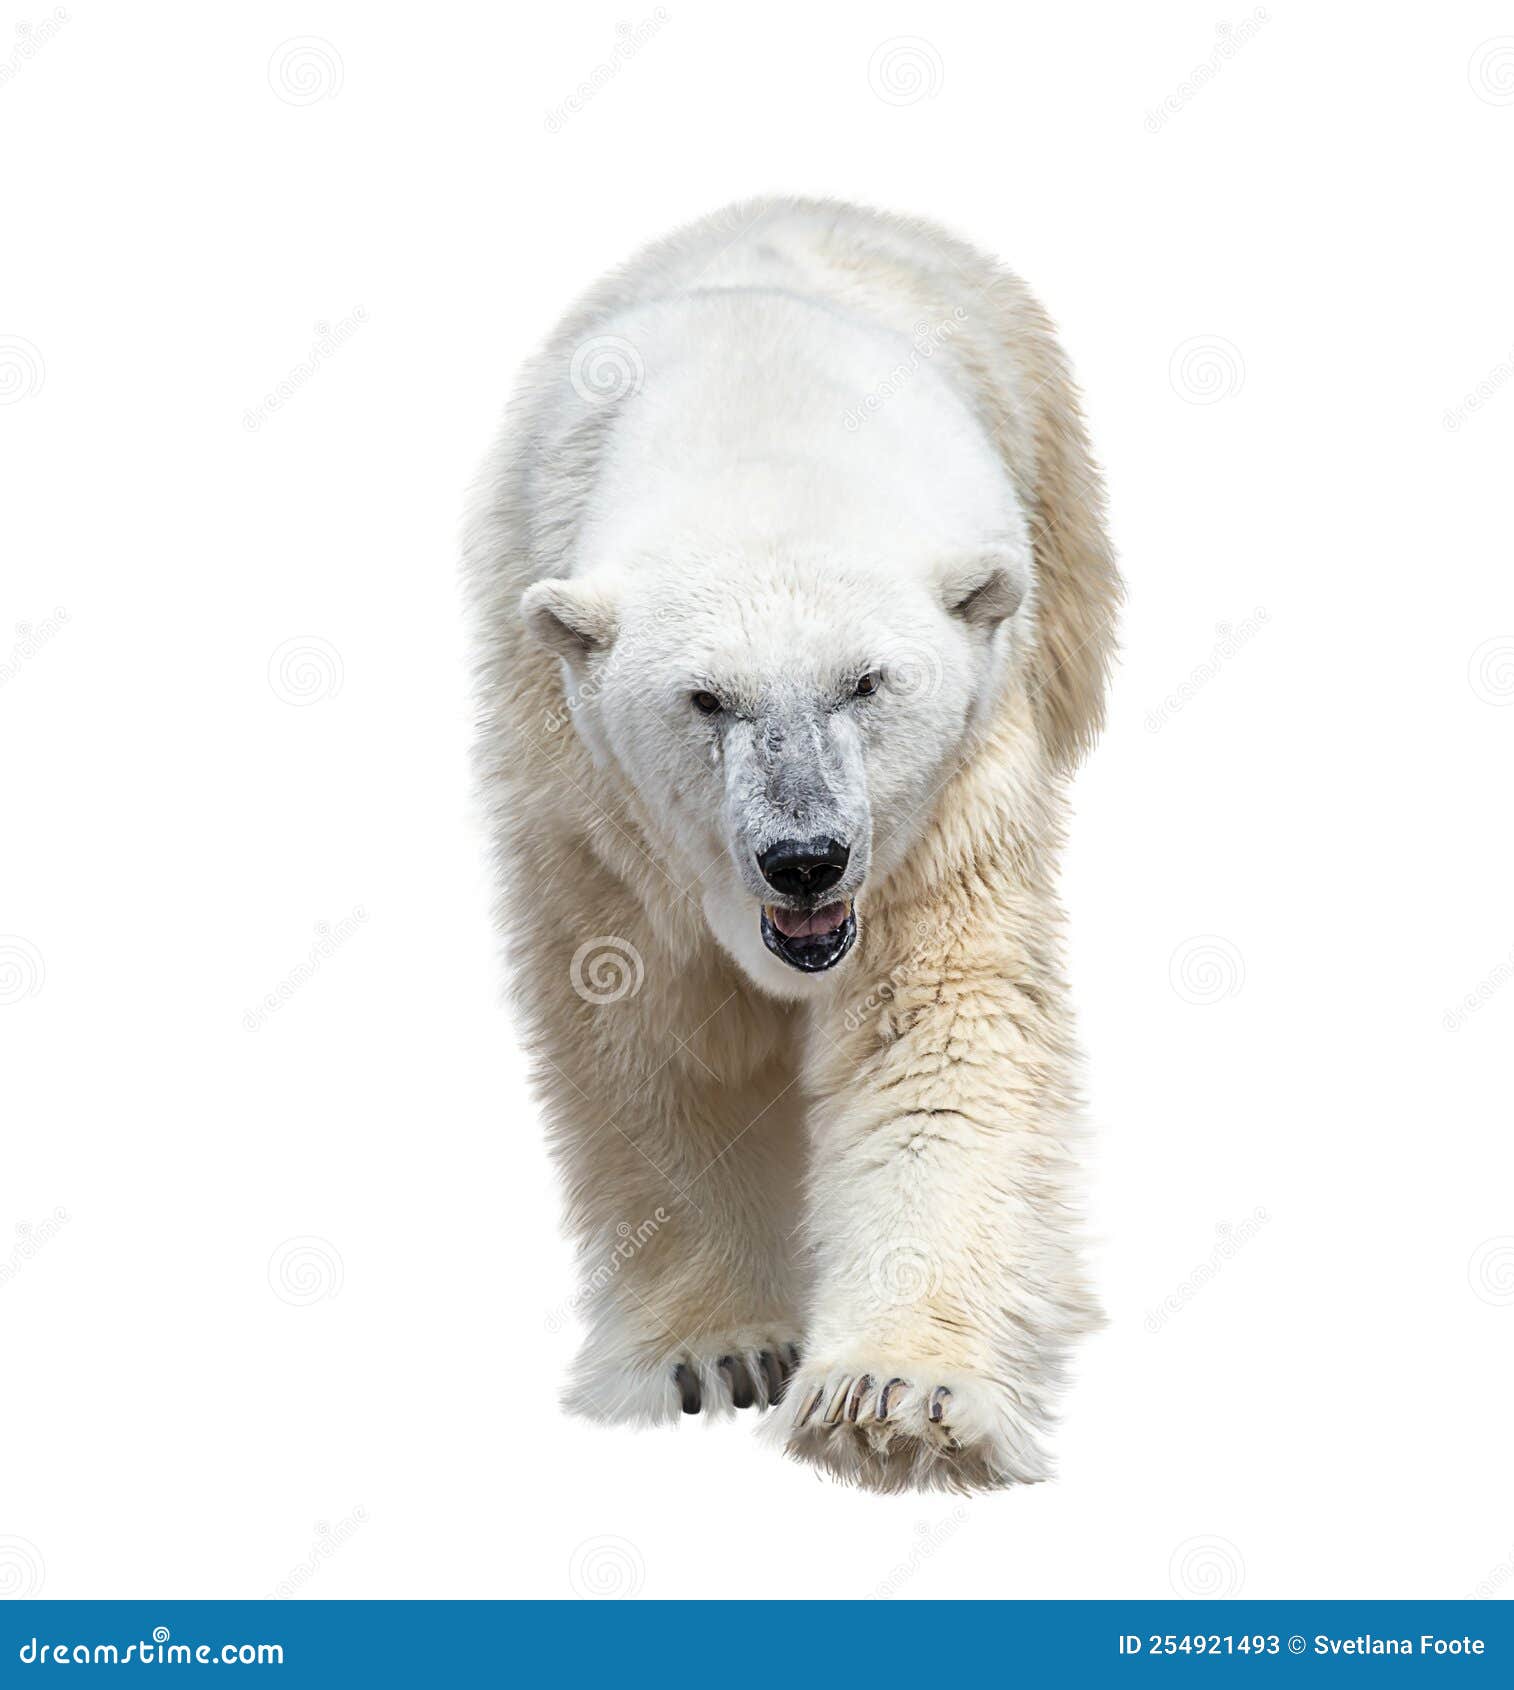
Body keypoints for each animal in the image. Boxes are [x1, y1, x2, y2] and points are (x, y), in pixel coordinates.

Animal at [464, 197, 1121, 1493]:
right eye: (704, 699)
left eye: (865, 681)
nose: (803, 857)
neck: (761, 422)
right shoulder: (587, 792)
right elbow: (656, 1029)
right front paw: (712, 1355)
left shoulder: (955, 785)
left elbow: (937, 1026)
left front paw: (896, 1397)